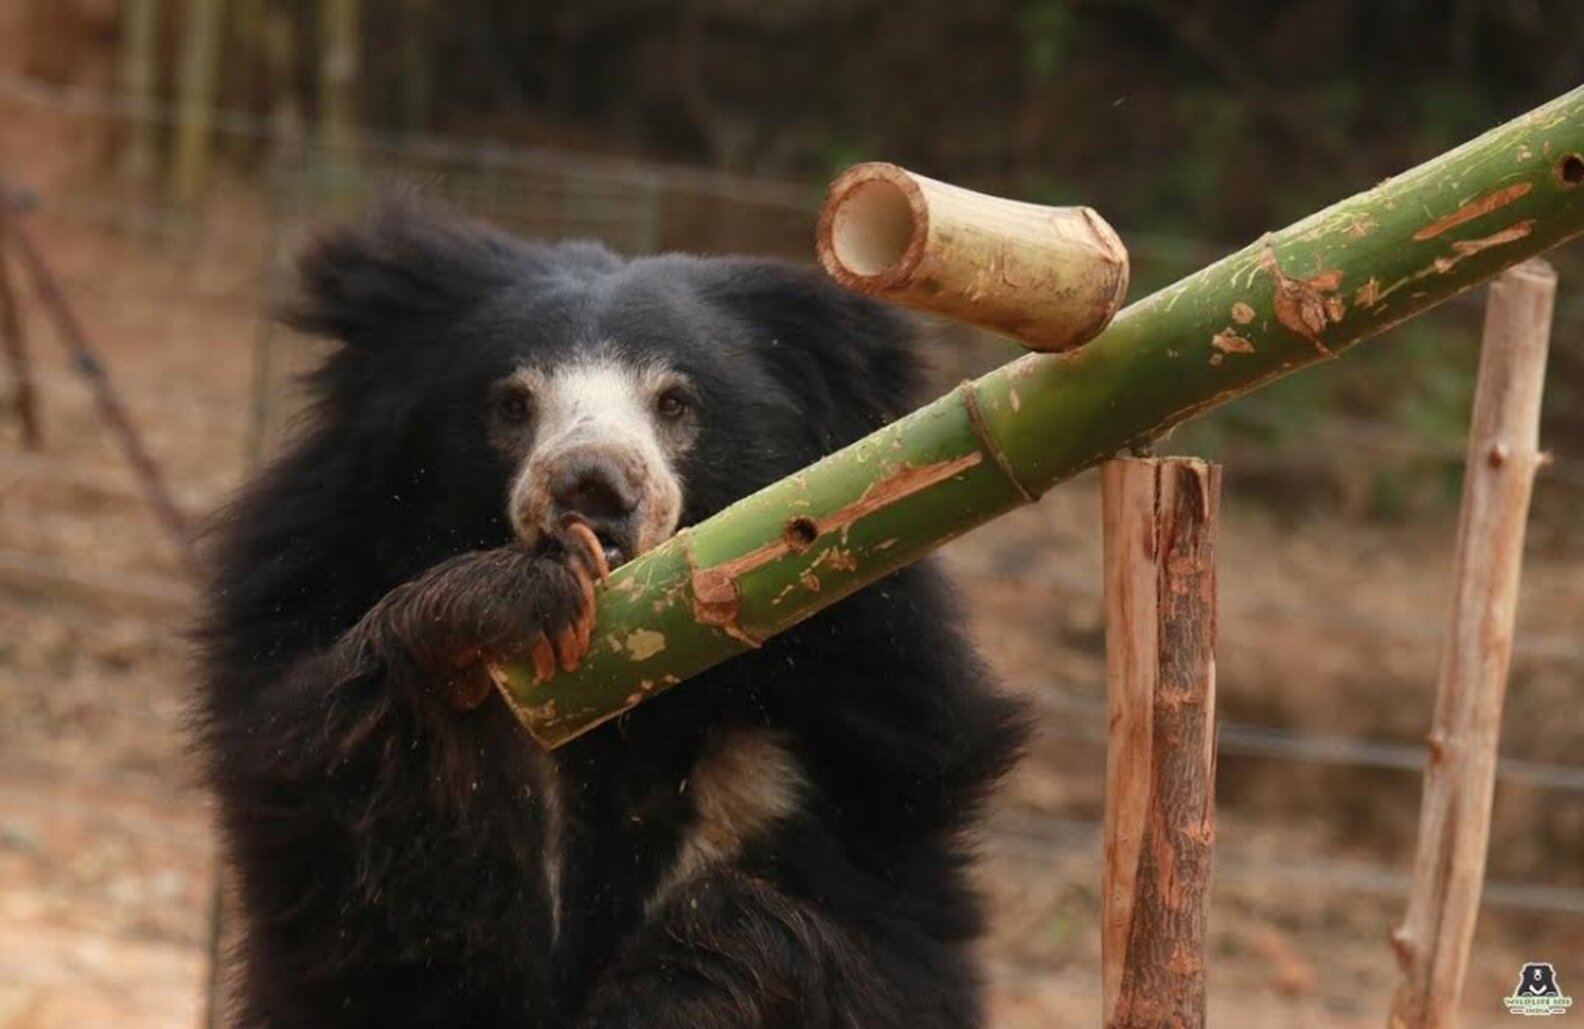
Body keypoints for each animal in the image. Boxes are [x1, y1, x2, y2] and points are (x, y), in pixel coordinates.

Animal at [194, 199, 1028, 1029]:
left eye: (675, 401)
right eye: (513, 403)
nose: (591, 484)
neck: (626, 702)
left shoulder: (852, 755)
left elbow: (857, 950)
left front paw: (676, 990)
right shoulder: (311, 605)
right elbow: (375, 888)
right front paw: (496, 606)